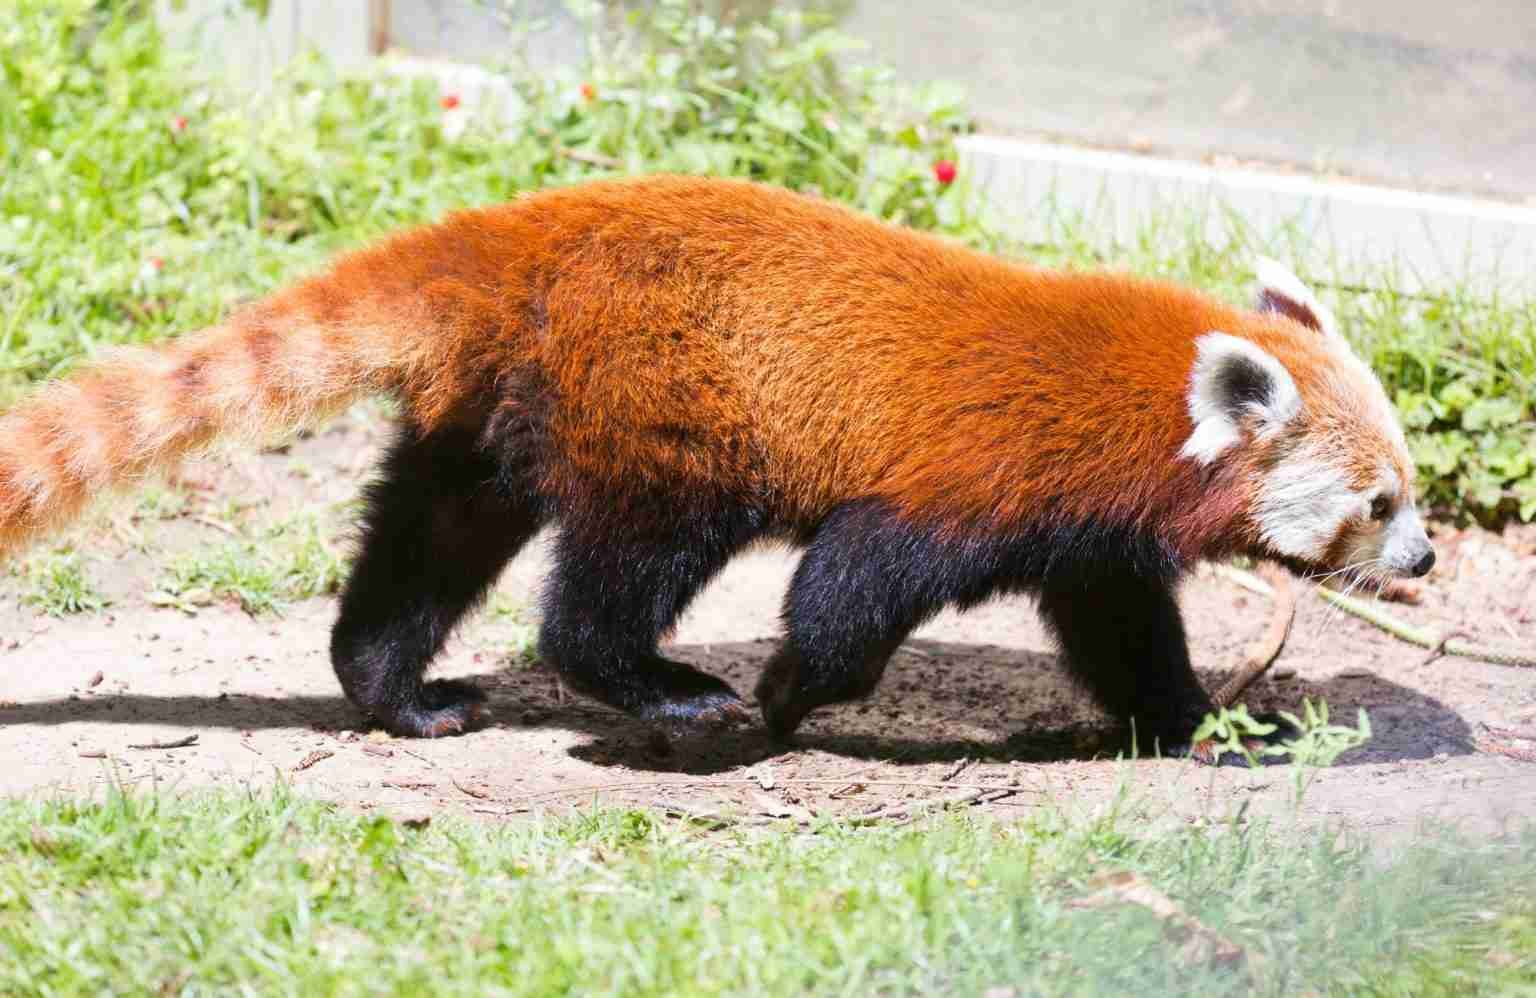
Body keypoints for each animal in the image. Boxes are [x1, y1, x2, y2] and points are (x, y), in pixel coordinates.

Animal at [0, 175, 1432, 755]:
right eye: (1381, 502)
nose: (1423, 556)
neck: (1146, 401)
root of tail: (519, 228)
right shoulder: (974, 479)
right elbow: (850, 586)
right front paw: (796, 691)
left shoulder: (1086, 534)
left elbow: (1125, 629)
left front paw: (1212, 722)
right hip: (661, 409)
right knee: (615, 574)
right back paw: (665, 688)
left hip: (503, 411)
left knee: (432, 538)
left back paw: (395, 690)